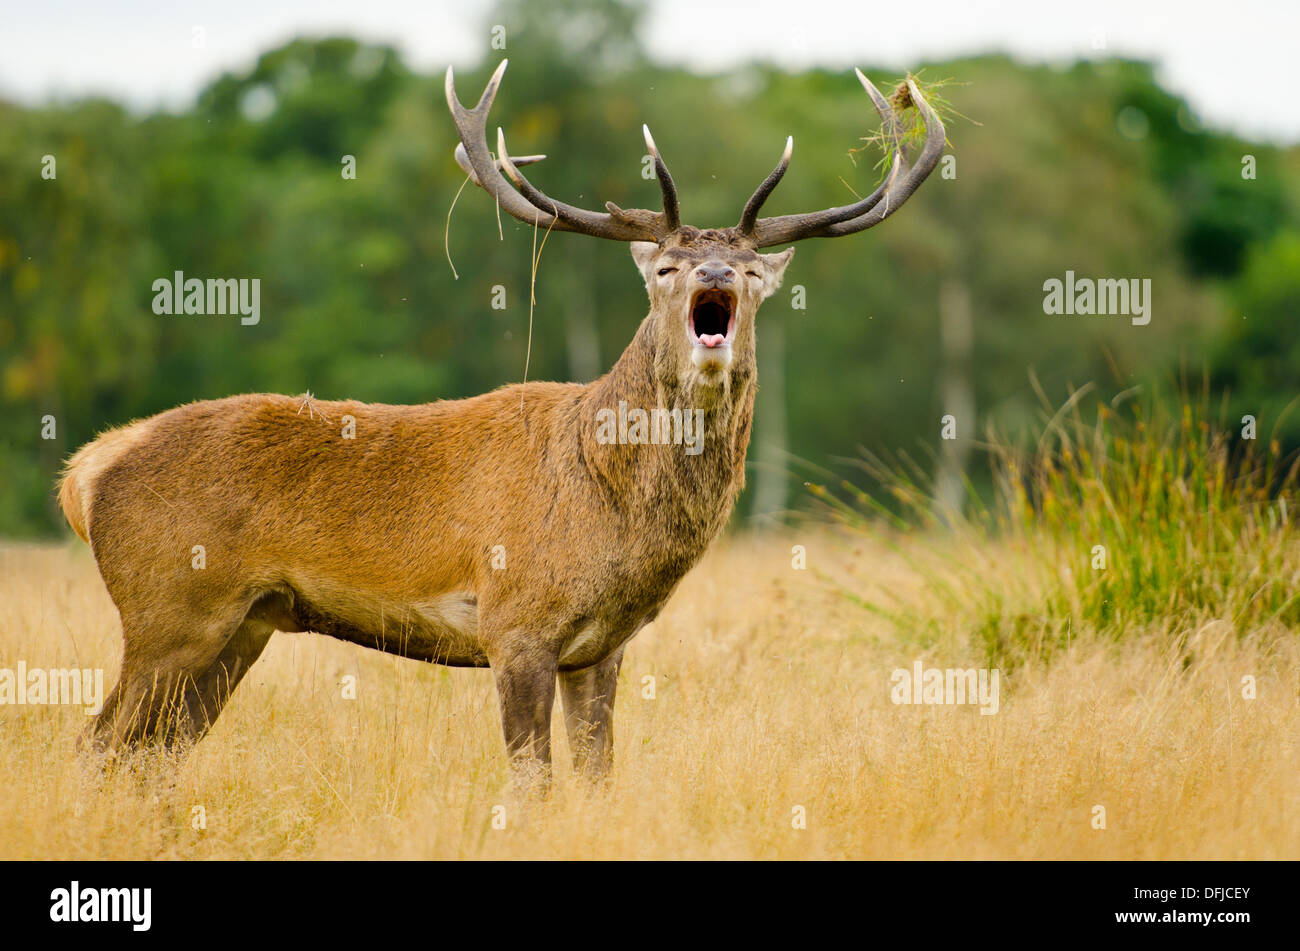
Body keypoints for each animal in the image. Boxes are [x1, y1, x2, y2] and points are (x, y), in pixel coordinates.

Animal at [57, 59, 944, 784]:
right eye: (667, 266)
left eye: (756, 271)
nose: (719, 273)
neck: (609, 509)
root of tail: (88, 470)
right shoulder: (515, 623)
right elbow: (532, 781)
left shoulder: (602, 648)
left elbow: (597, 779)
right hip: (168, 609)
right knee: (98, 745)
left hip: (243, 625)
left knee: (152, 756)